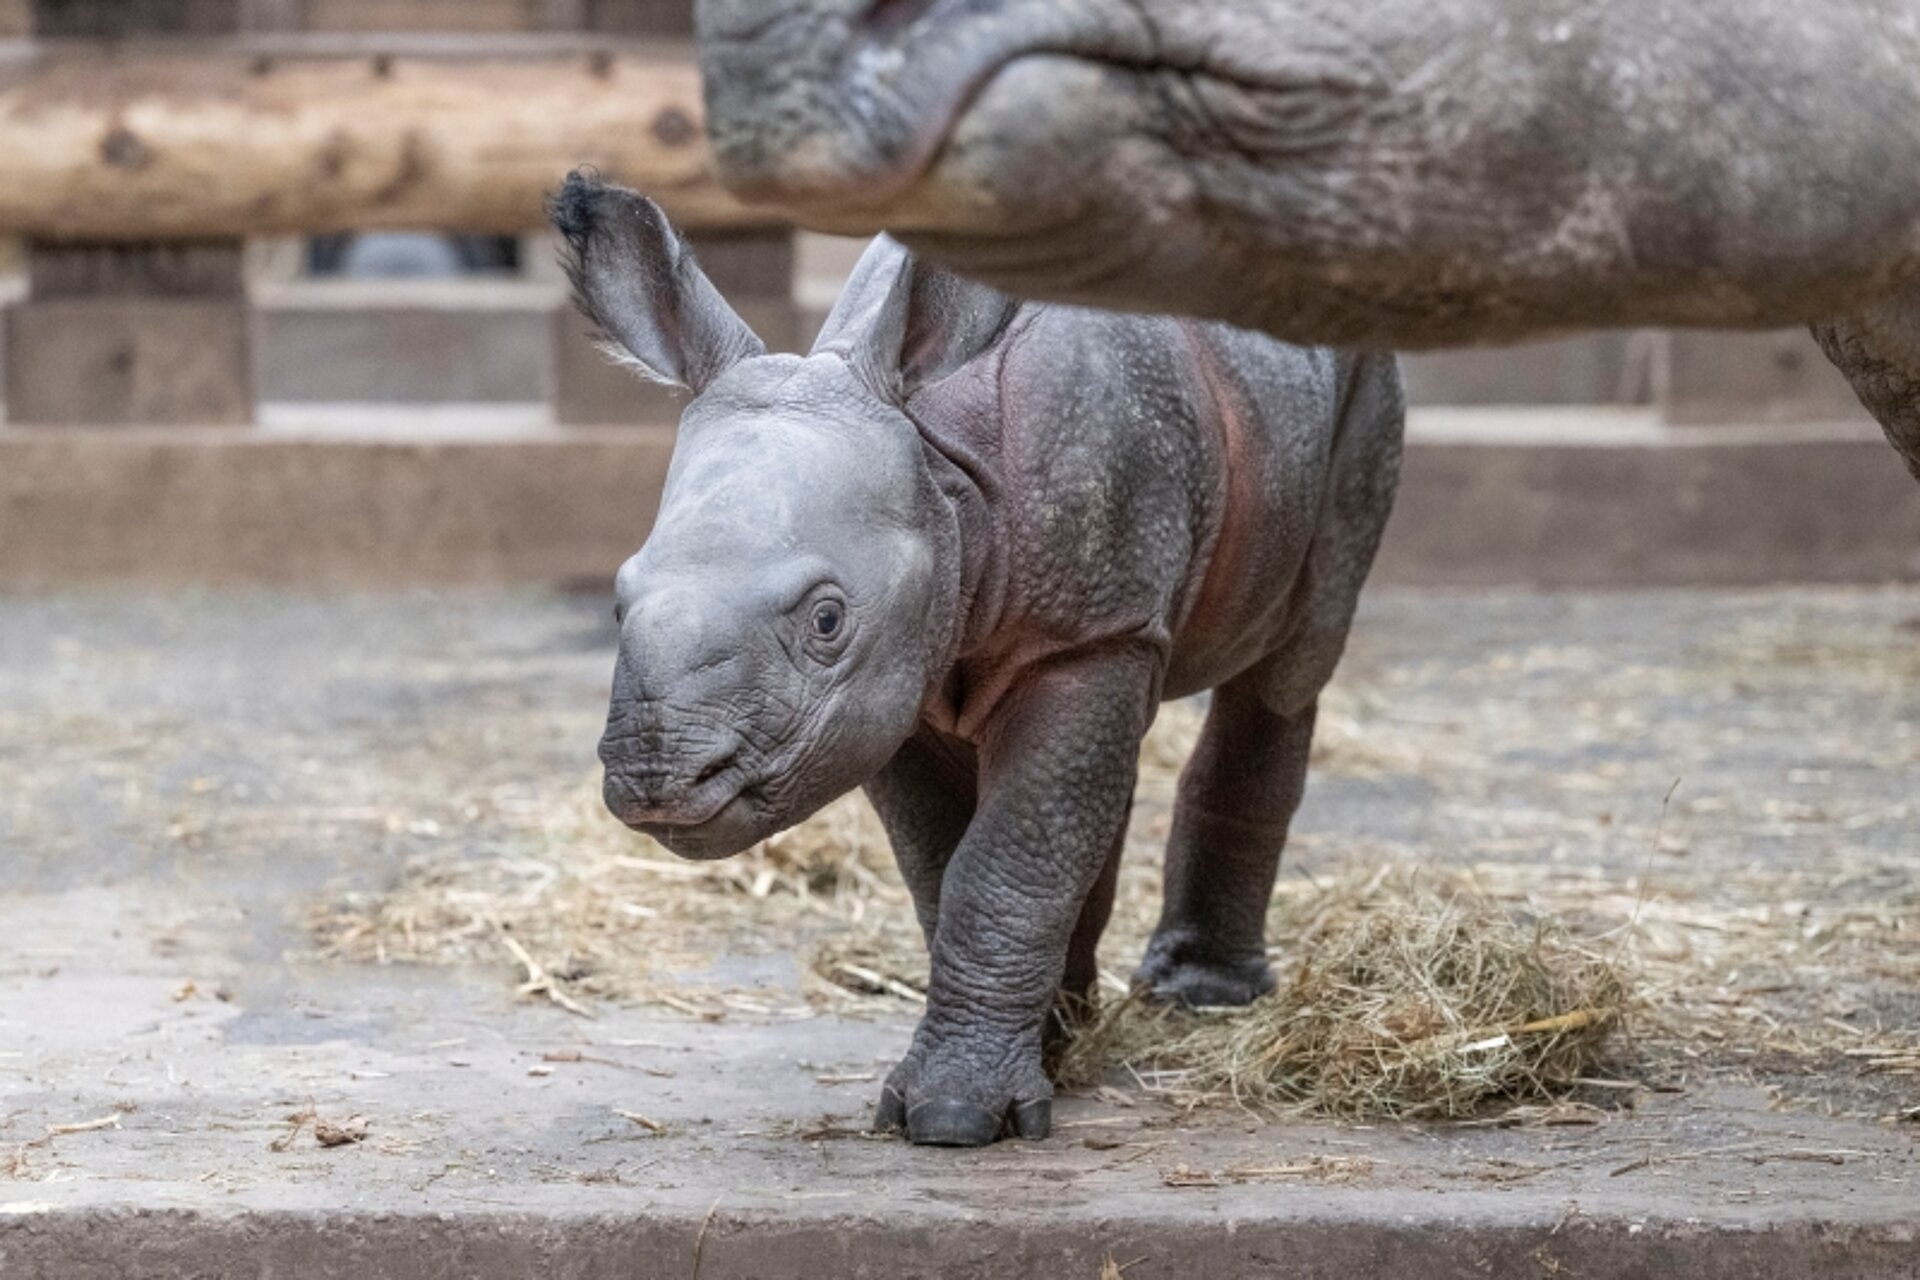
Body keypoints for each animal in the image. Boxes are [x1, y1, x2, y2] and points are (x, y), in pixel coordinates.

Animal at [551, 172, 1403, 1146]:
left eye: (827, 620)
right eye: (620, 599)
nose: (659, 778)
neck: (942, 475)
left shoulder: (1081, 631)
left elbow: (1003, 866)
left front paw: (959, 1116)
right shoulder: (888, 682)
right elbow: (952, 861)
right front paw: (1037, 1060)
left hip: (1361, 366)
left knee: (1290, 663)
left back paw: (1203, 997)